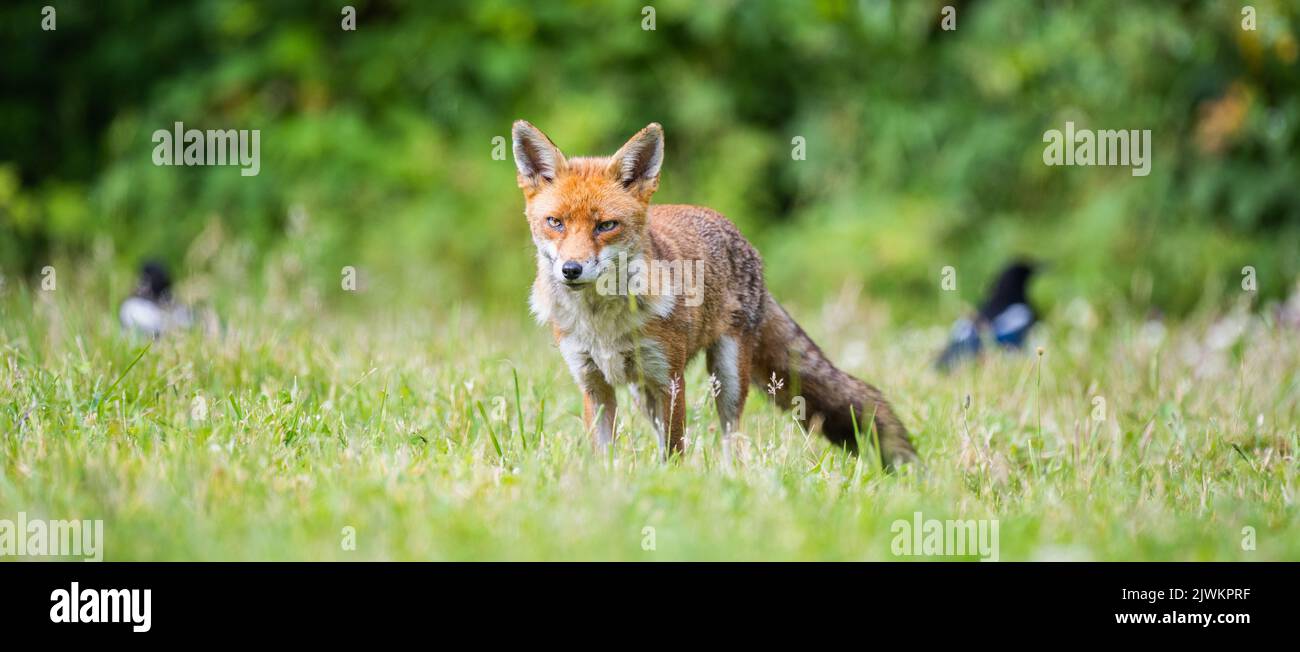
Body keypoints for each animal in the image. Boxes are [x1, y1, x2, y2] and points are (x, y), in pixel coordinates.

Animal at [512, 120, 920, 468]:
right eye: (555, 223)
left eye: (606, 226)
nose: (571, 269)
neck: (602, 323)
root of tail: (738, 234)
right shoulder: (593, 382)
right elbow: (604, 454)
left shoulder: (668, 378)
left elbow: (675, 451)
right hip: (644, 394)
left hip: (727, 375)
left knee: (732, 436)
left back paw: (730, 477)